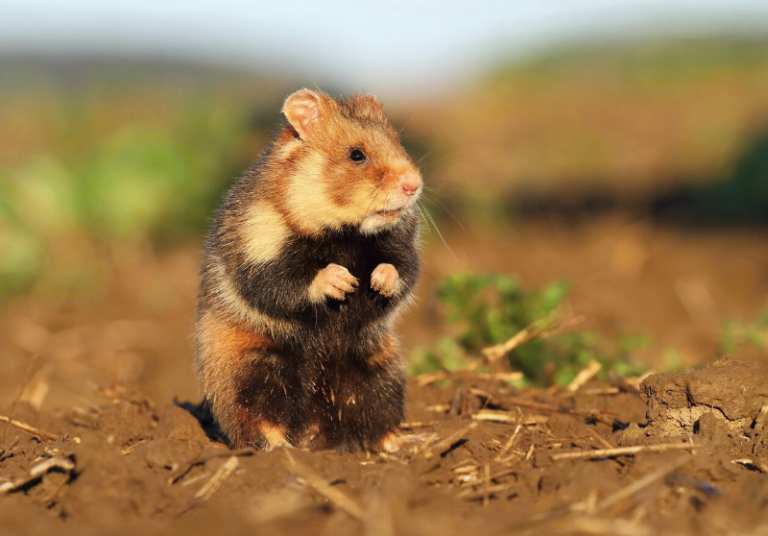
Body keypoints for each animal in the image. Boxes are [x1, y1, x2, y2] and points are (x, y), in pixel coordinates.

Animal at [194, 89, 422, 452]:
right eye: (356, 155)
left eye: (398, 141)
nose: (414, 185)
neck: (345, 233)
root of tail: (313, 433)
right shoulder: (256, 247)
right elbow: (282, 281)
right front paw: (343, 282)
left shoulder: (404, 245)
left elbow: (403, 268)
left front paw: (377, 281)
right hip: (252, 369)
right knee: (258, 419)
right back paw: (282, 449)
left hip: (379, 366)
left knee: (376, 417)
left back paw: (404, 444)